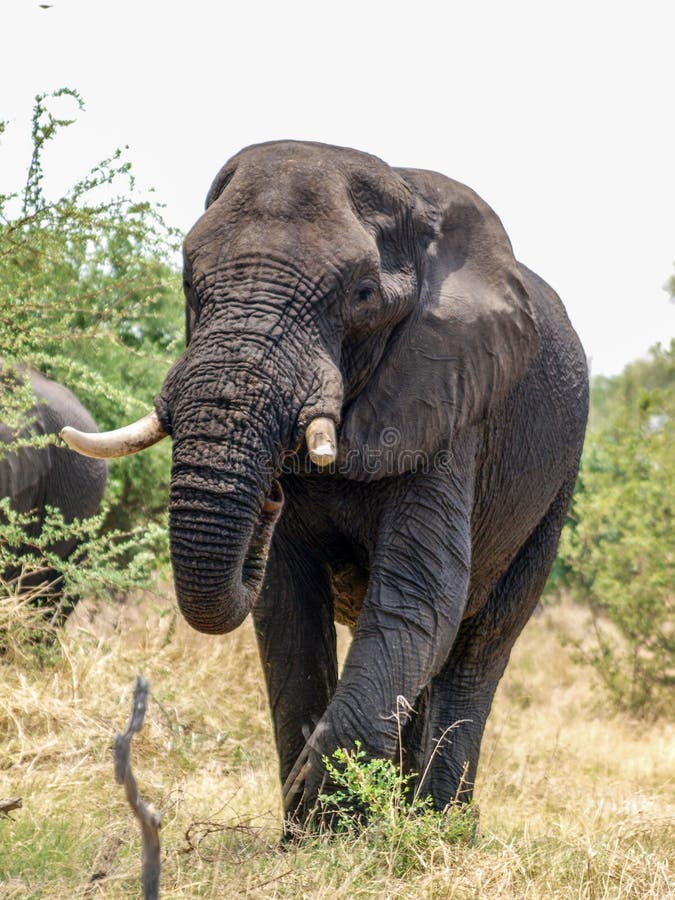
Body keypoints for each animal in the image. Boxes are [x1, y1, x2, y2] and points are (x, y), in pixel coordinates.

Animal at [61, 141, 588, 830]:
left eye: (362, 294)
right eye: (187, 285)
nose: (270, 498)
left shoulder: (449, 399)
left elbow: (422, 594)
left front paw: (326, 807)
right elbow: (287, 603)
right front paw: (310, 828)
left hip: (555, 490)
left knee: (481, 644)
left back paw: (437, 824)